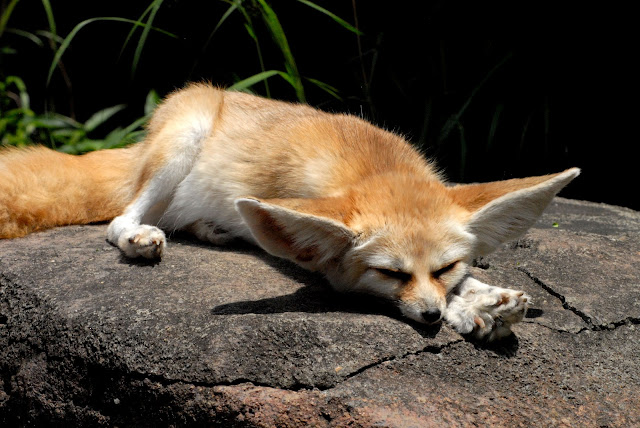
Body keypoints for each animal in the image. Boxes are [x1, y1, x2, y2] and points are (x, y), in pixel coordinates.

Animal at [0, 83, 580, 341]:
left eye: (444, 267)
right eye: (389, 275)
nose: (432, 318)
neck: (378, 166)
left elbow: (472, 281)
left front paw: (483, 296)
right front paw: (468, 310)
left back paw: (212, 228)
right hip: (180, 145)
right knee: (121, 220)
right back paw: (140, 237)